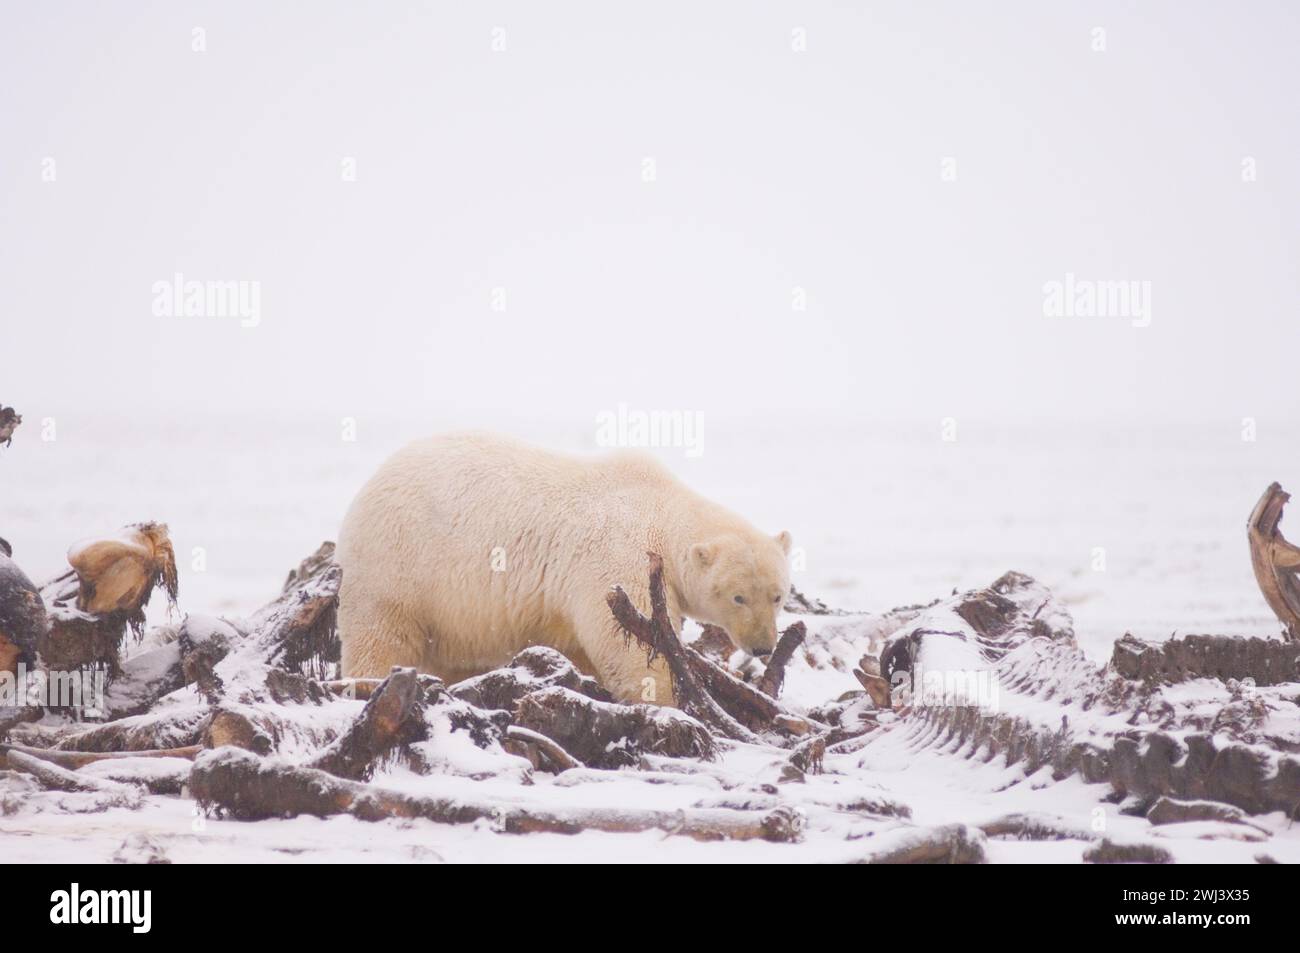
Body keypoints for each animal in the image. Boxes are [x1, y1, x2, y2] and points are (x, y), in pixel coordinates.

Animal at [336, 432, 792, 705]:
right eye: (738, 596)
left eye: (777, 595)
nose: (762, 646)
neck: (660, 510)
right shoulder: (618, 559)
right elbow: (627, 643)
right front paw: (663, 698)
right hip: (399, 563)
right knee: (380, 634)